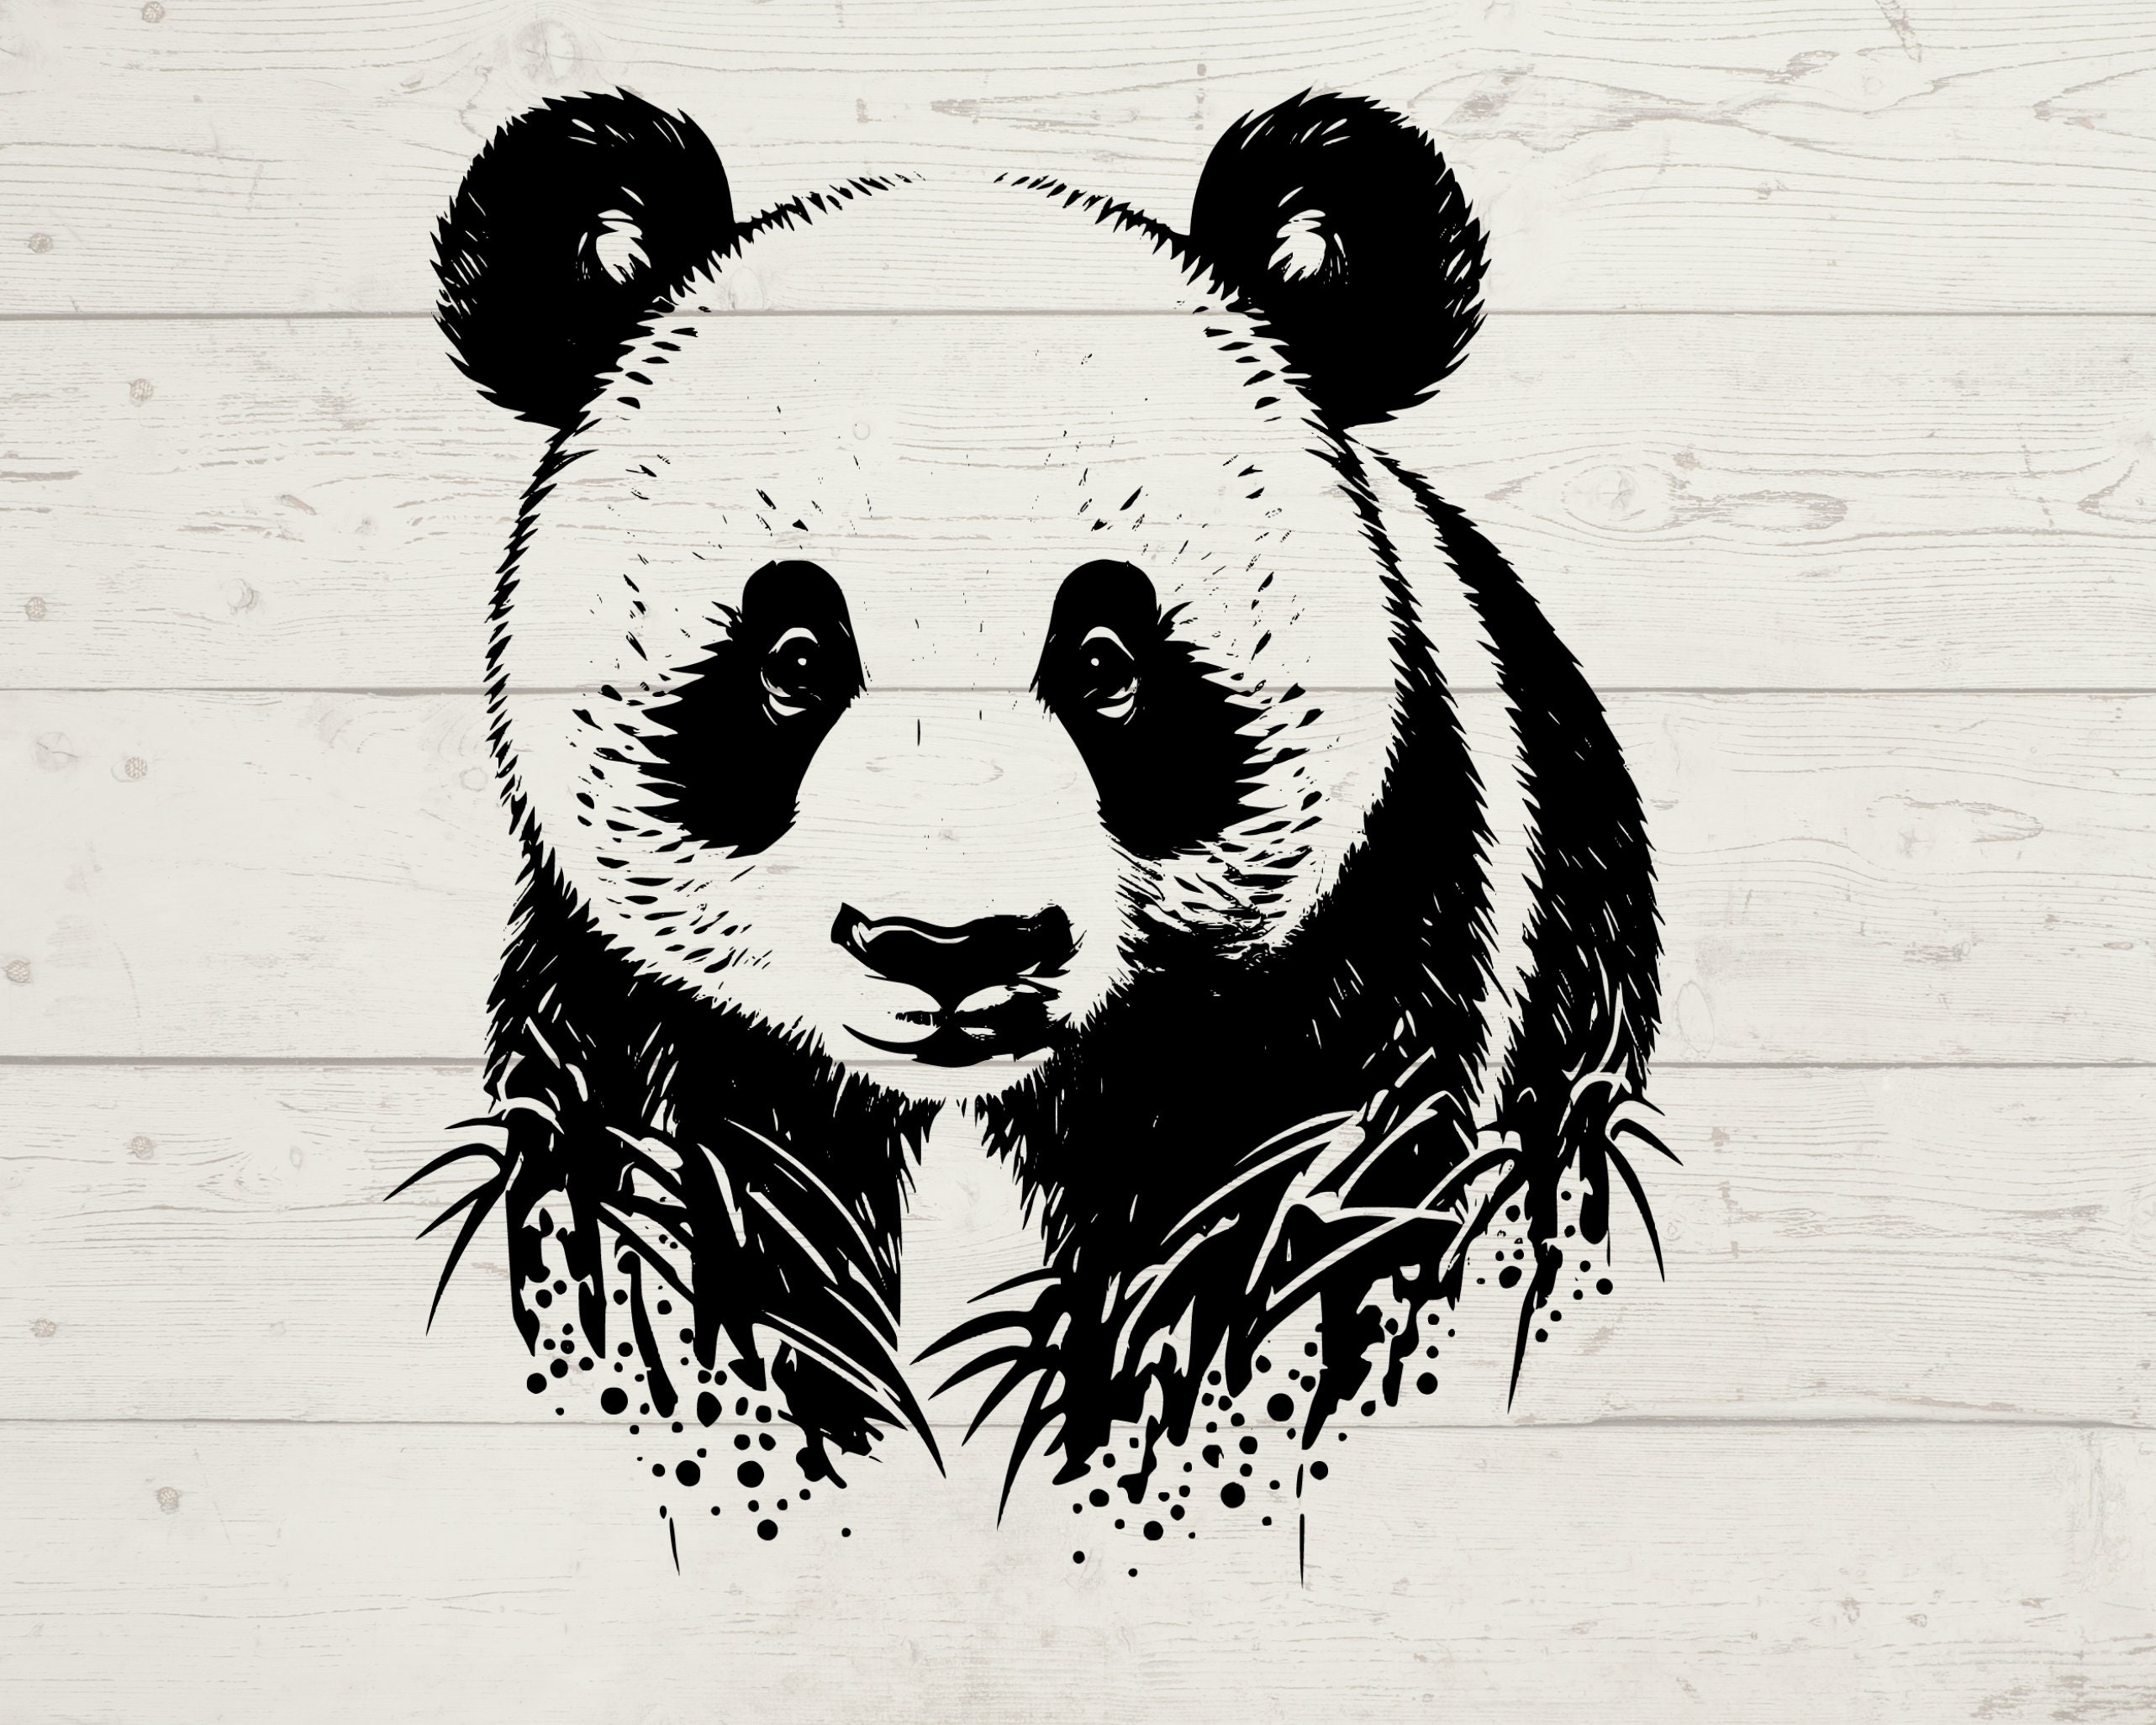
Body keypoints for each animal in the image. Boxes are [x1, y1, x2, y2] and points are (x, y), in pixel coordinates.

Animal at [407, 89, 1664, 1512]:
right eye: (794, 662)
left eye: (1106, 662)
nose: (954, 949)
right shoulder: (647, 1013)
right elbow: (674, 1211)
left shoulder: (1367, 941)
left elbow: (1279, 1229)